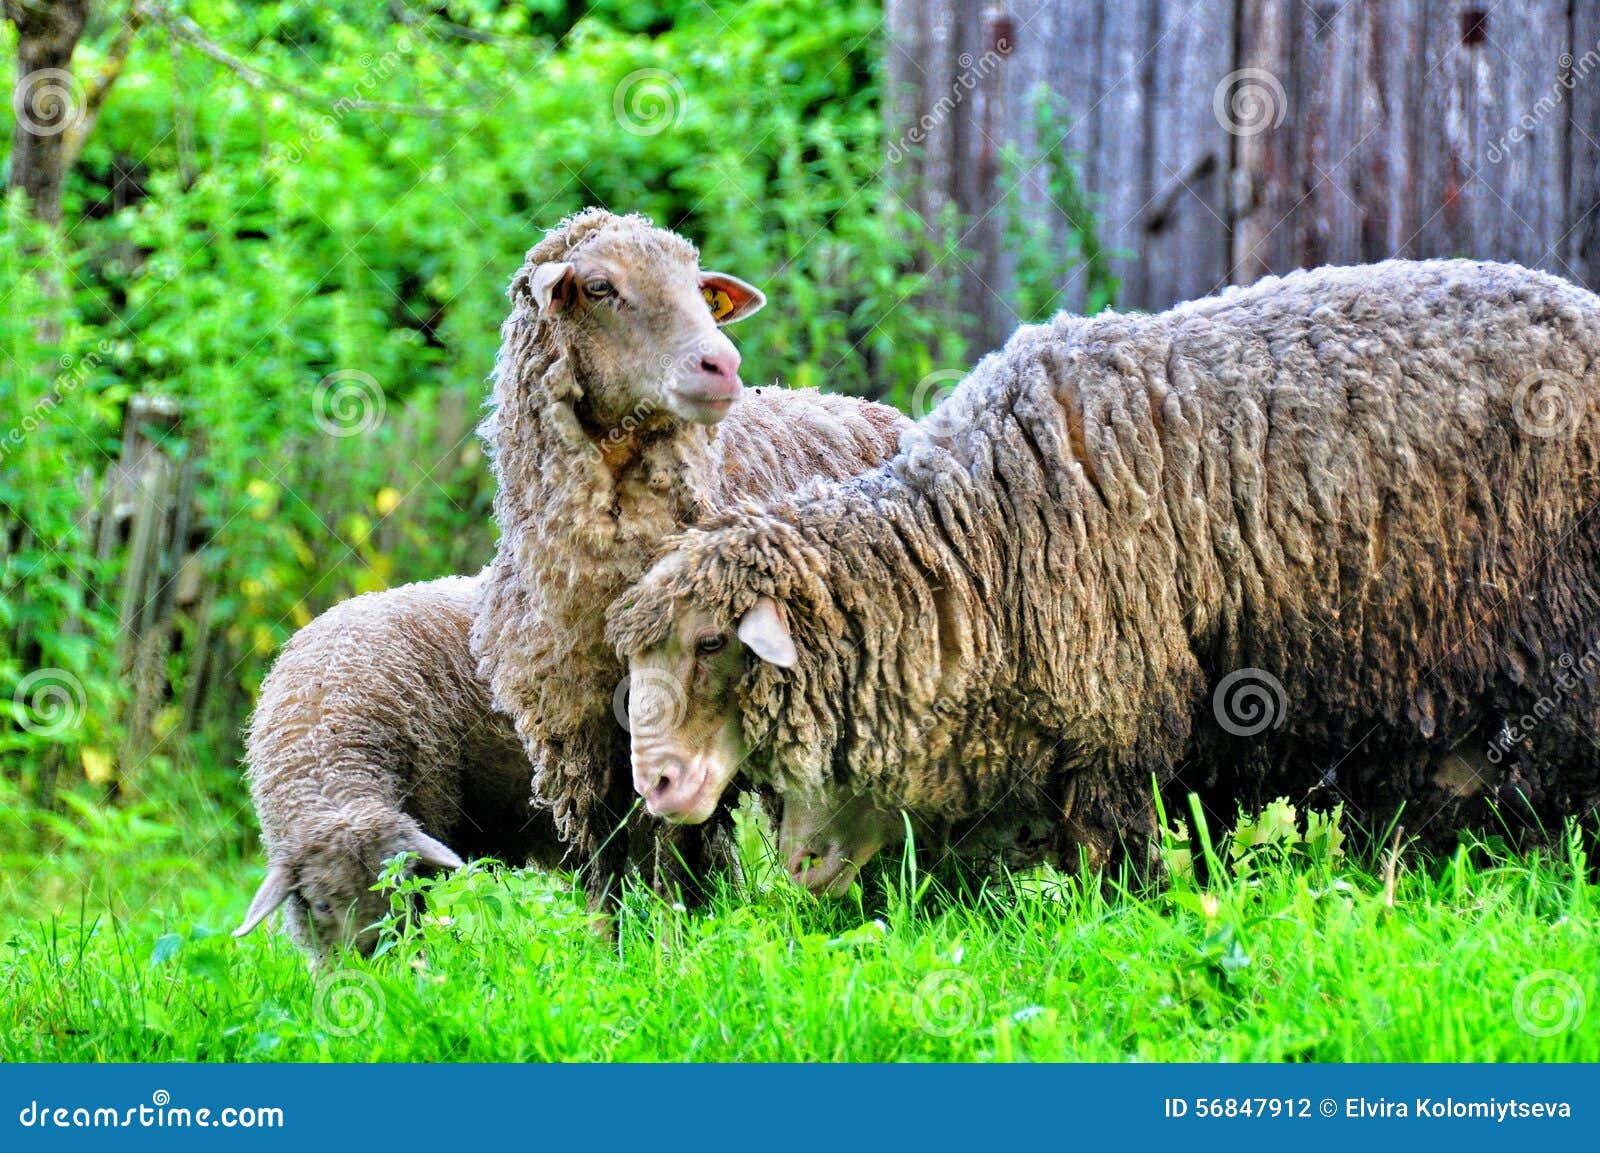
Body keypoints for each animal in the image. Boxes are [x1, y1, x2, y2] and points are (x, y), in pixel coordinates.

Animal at [469, 208, 910, 911]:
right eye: (599, 287)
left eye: (702, 291)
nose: (722, 363)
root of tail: (866, 405)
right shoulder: (578, 732)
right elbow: (604, 854)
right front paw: (615, 932)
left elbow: (677, 835)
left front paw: (682, 921)